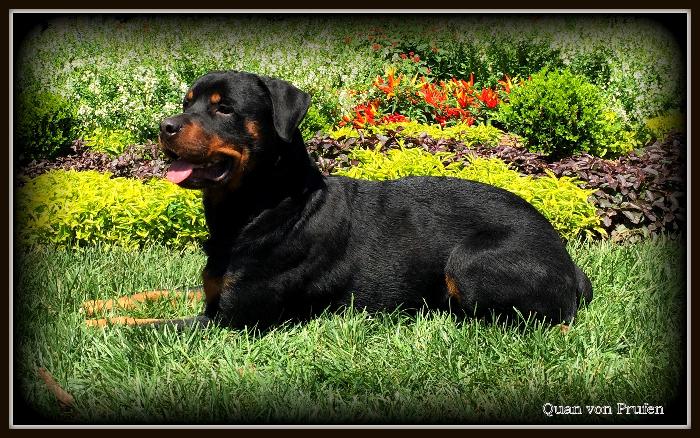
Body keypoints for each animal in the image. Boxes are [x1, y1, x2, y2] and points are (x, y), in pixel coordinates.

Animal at [84, 71, 592, 330]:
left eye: (223, 108)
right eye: (187, 102)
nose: (165, 126)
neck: (263, 205)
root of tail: (570, 264)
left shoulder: (231, 320)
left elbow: (150, 326)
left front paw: (93, 327)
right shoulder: (216, 295)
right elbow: (156, 295)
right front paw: (97, 307)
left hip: (469, 263)